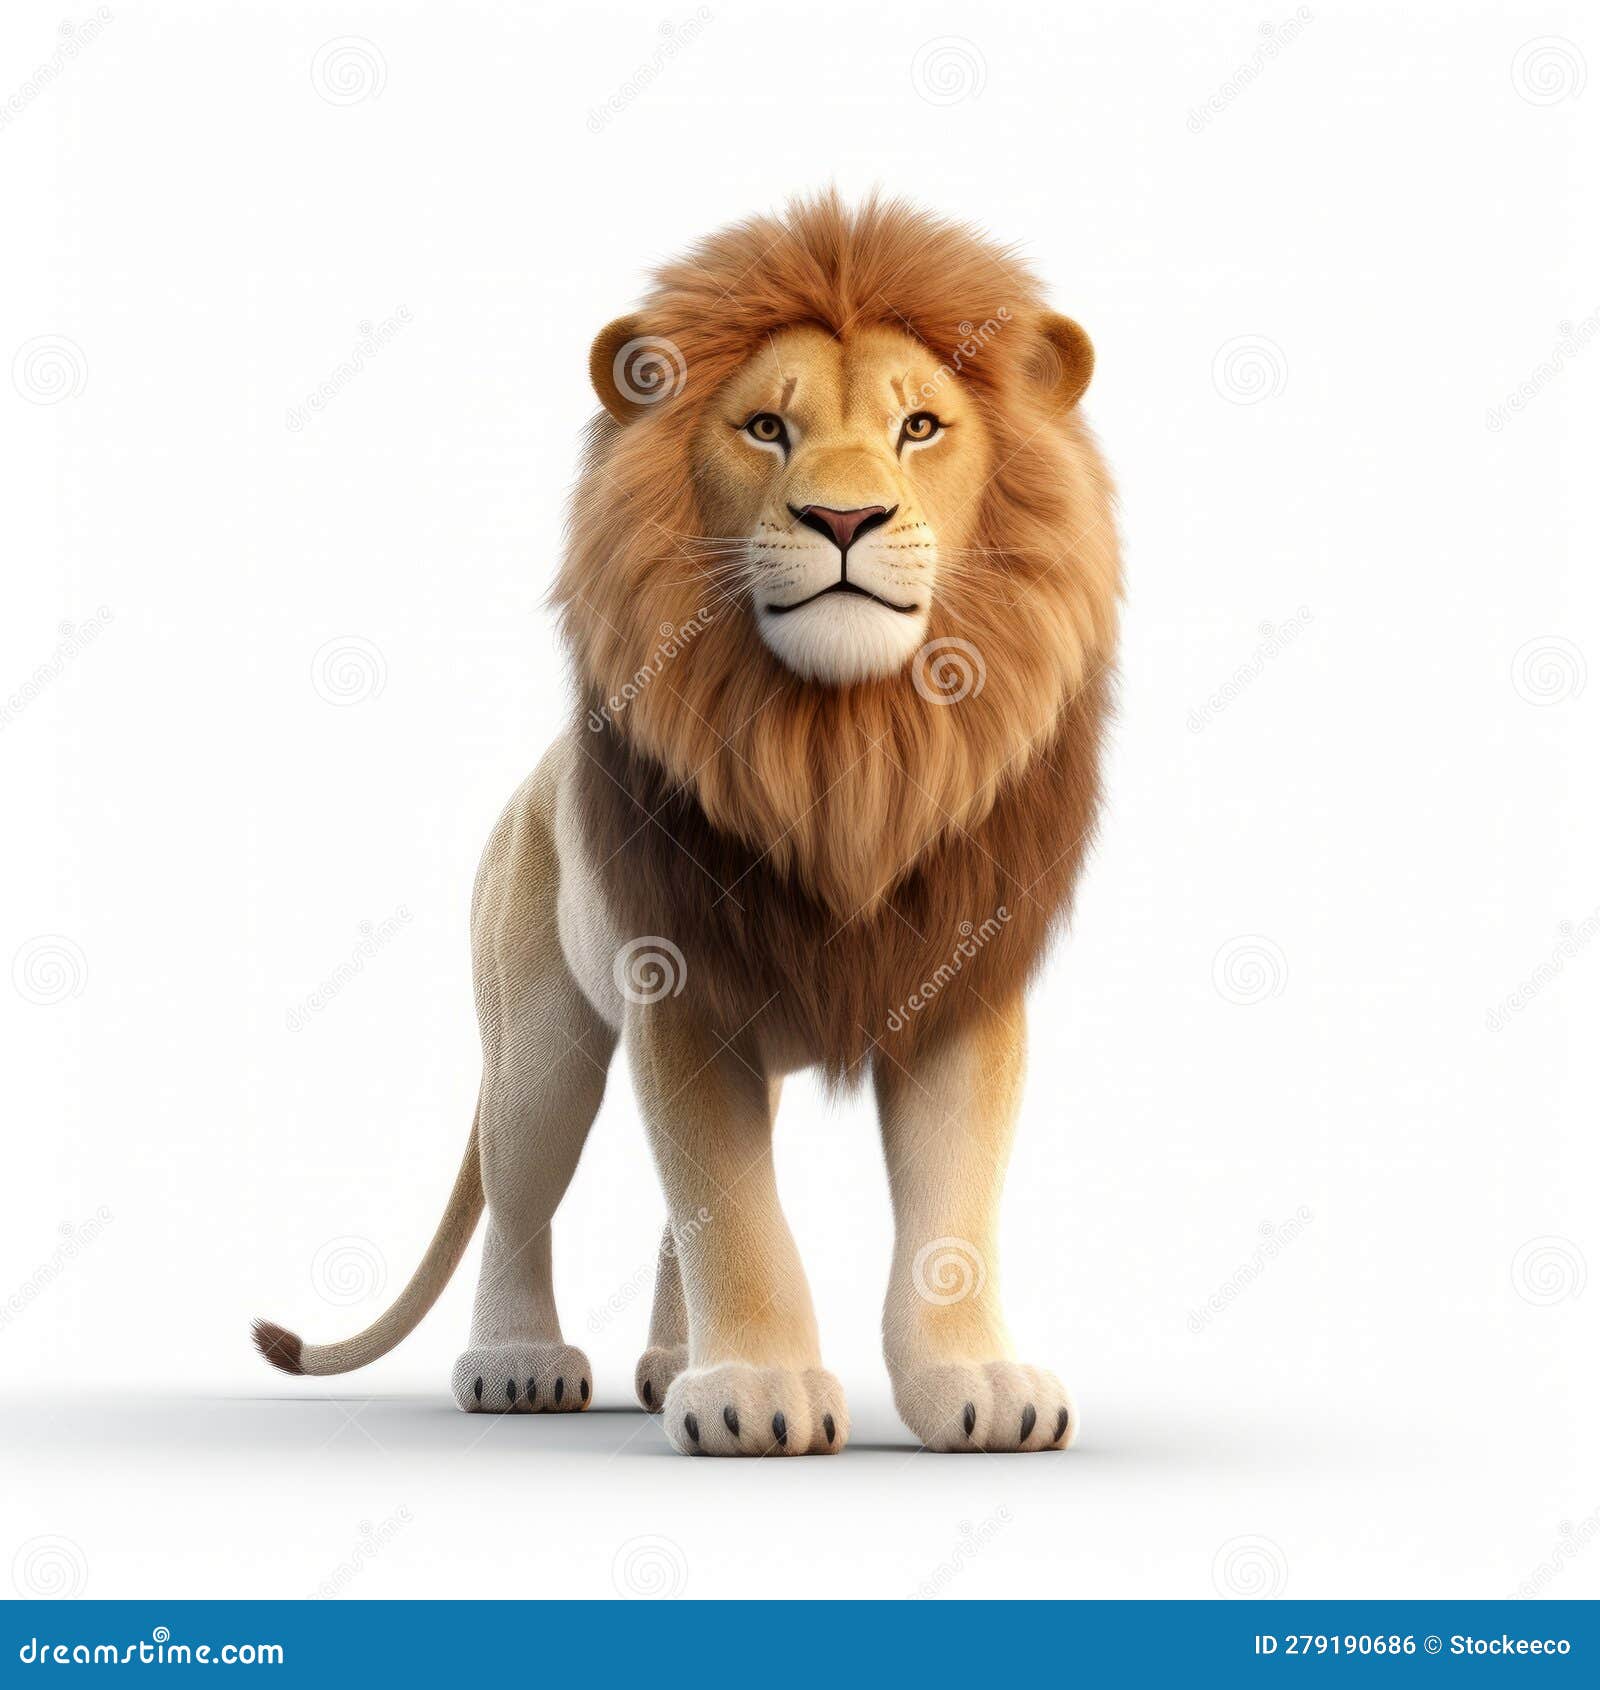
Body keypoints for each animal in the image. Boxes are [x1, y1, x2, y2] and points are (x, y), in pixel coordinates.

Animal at [254, 192, 1121, 1456]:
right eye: (766, 427)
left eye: (919, 426)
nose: (845, 515)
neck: (845, 748)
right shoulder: (683, 987)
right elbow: (738, 1216)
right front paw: (757, 1390)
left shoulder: (961, 985)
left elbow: (945, 1216)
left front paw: (976, 1383)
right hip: (537, 1039)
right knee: (522, 1193)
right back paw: (517, 1364)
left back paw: (670, 1361)